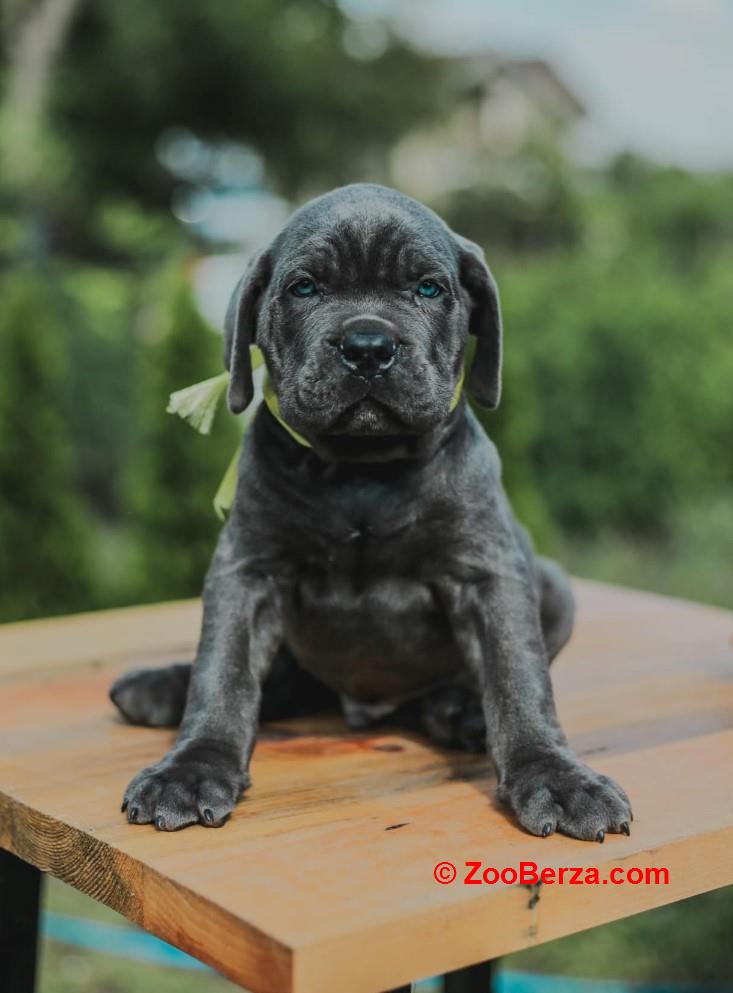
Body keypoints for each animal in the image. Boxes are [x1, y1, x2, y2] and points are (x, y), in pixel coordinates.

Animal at [111, 180, 632, 836]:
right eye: (305, 287)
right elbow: (223, 671)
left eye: (428, 288)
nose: (367, 347)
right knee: (280, 682)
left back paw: (460, 711)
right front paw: (191, 765)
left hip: (554, 583)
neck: (362, 468)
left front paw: (556, 776)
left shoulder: (487, 573)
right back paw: (160, 688)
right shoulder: (248, 570)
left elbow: (519, 676)